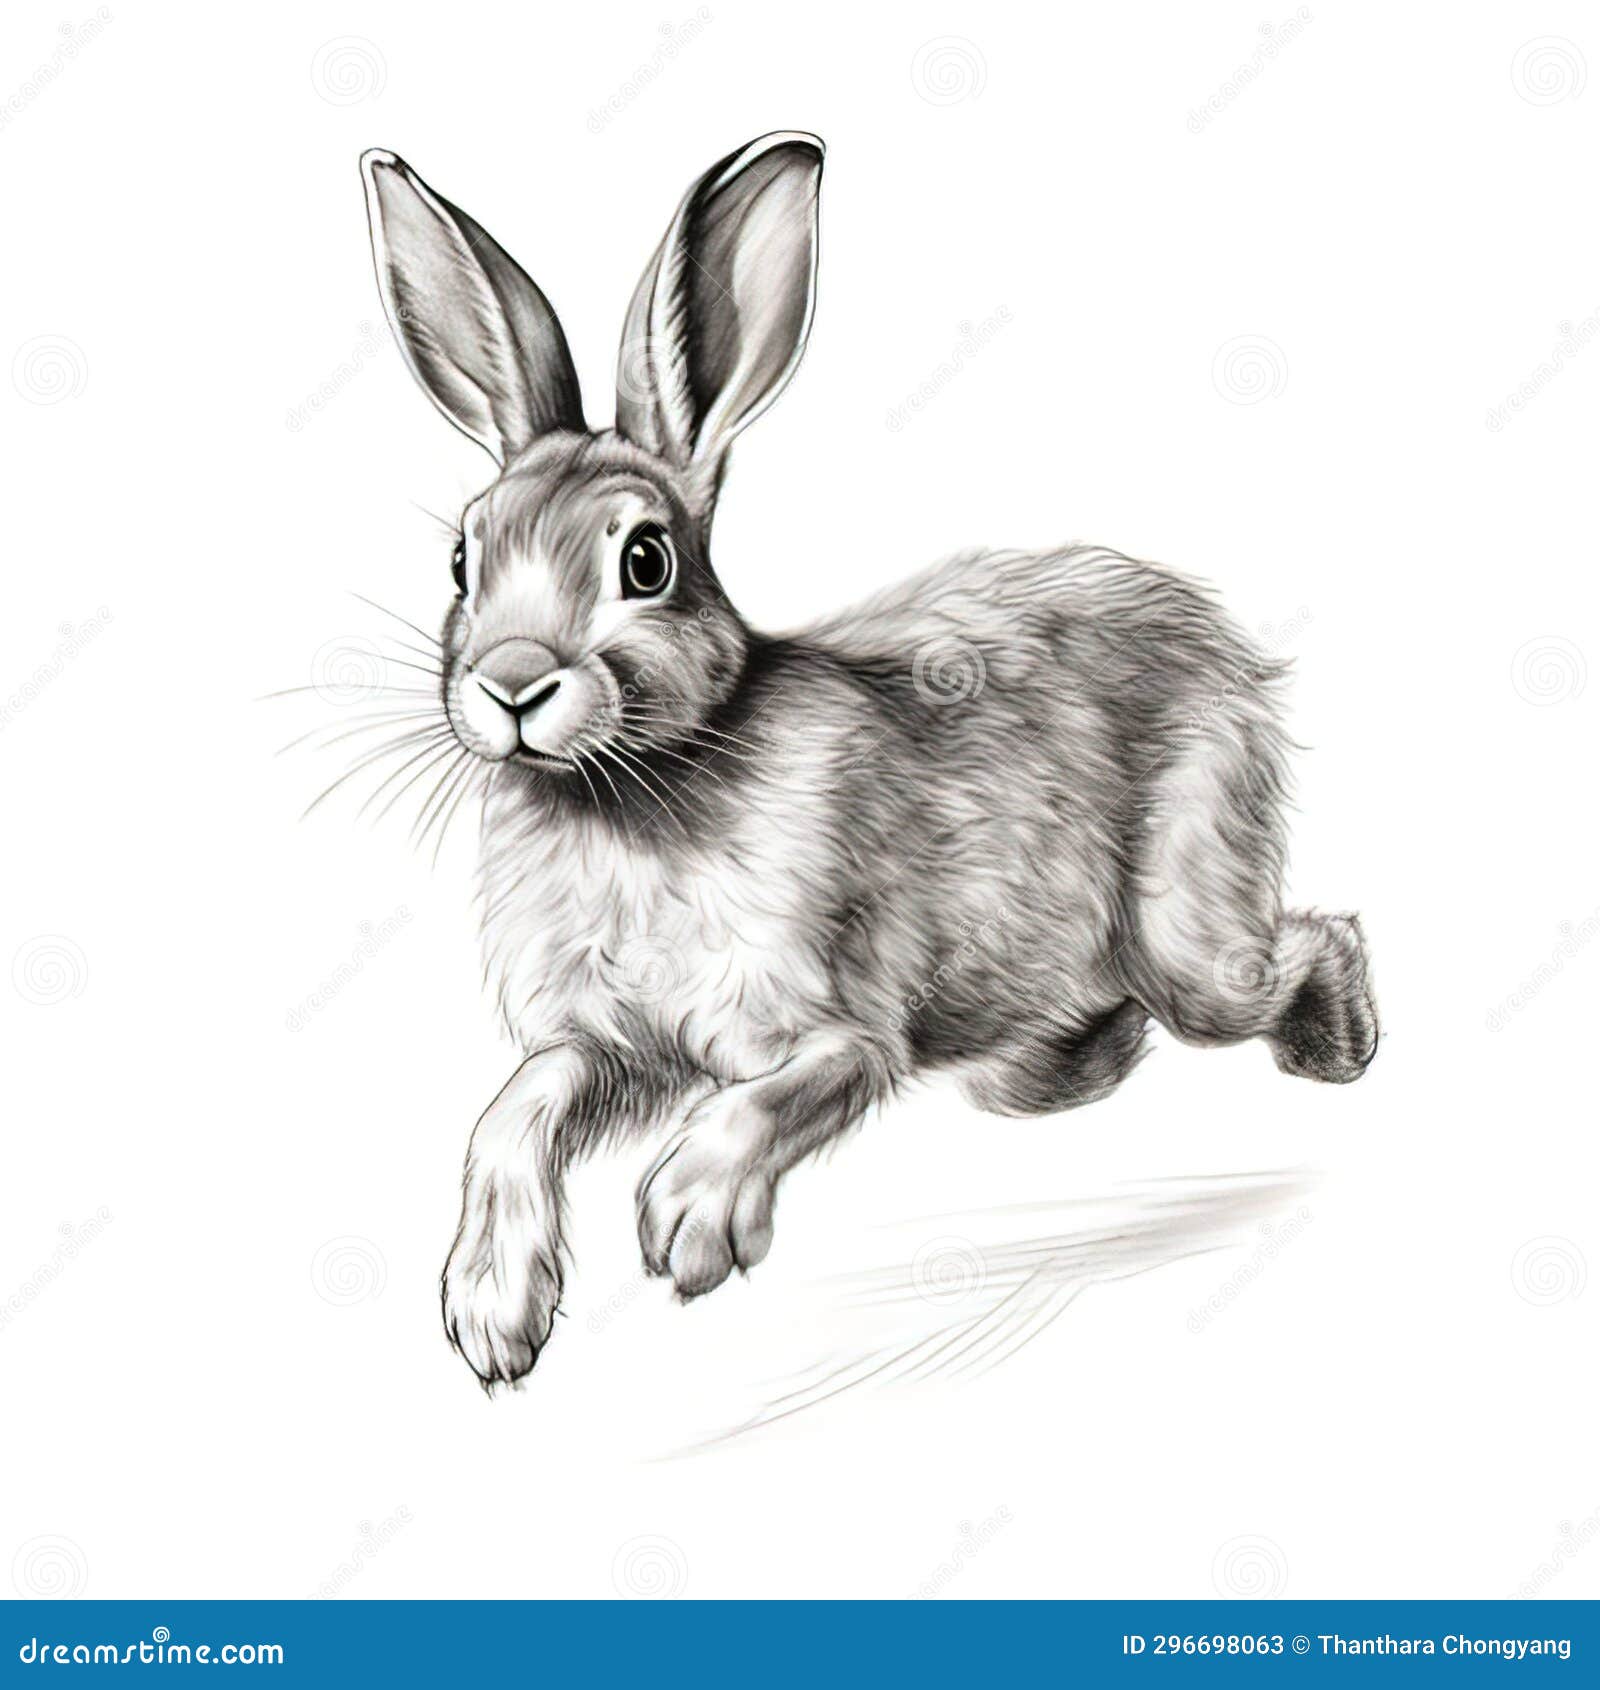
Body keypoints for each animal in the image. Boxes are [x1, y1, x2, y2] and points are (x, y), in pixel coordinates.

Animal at [358, 131, 1378, 1389]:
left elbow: (787, 1092)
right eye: (463, 556)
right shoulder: (606, 1044)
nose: (508, 685)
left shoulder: (838, 1023)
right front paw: (492, 1308)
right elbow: (515, 1109)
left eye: (645, 559)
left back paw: (1343, 1044)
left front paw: (689, 1218)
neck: (633, 787)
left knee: (1297, 949)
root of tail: (1220, 643)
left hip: (1194, 928)